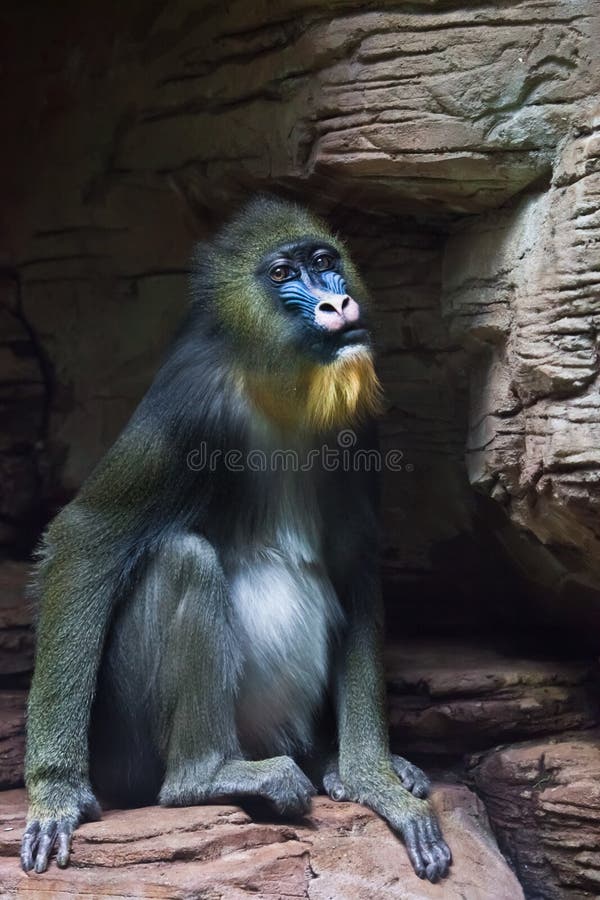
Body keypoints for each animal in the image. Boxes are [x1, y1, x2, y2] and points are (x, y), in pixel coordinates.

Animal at [20, 197, 451, 882]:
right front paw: (55, 793)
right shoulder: (188, 402)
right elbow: (89, 537)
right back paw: (209, 776)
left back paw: (332, 761)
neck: (283, 386)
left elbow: (353, 569)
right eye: (281, 275)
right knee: (184, 560)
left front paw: (372, 778)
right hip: (135, 752)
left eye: (324, 260)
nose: (336, 303)